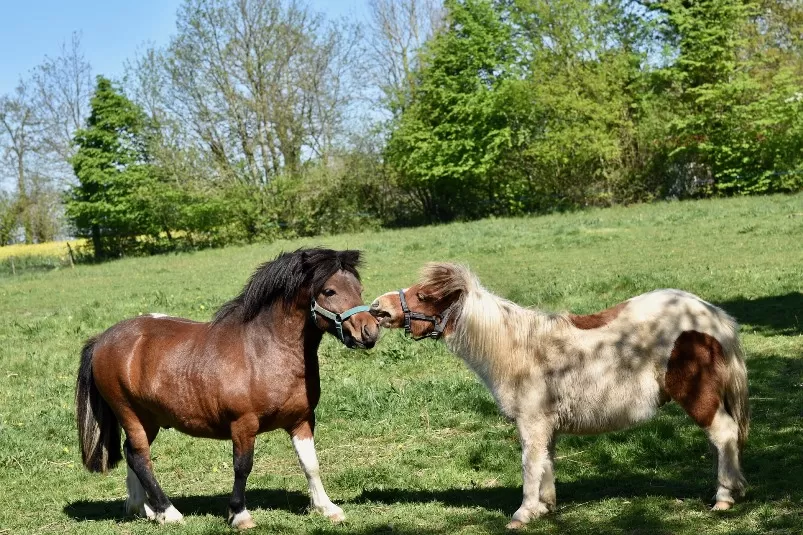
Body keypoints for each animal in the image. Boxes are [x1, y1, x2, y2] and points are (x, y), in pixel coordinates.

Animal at [77, 249, 378, 528]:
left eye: (359, 288)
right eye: (329, 290)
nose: (369, 332)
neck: (263, 350)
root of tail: (102, 339)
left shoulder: (302, 420)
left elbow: (310, 463)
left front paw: (327, 508)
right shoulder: (243, 424)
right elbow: (242, 467)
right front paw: (239, 515)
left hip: (148, 419)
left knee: (132, 454)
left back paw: (143, 509)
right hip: (129, 414)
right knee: (140, 458)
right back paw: (169, 512)